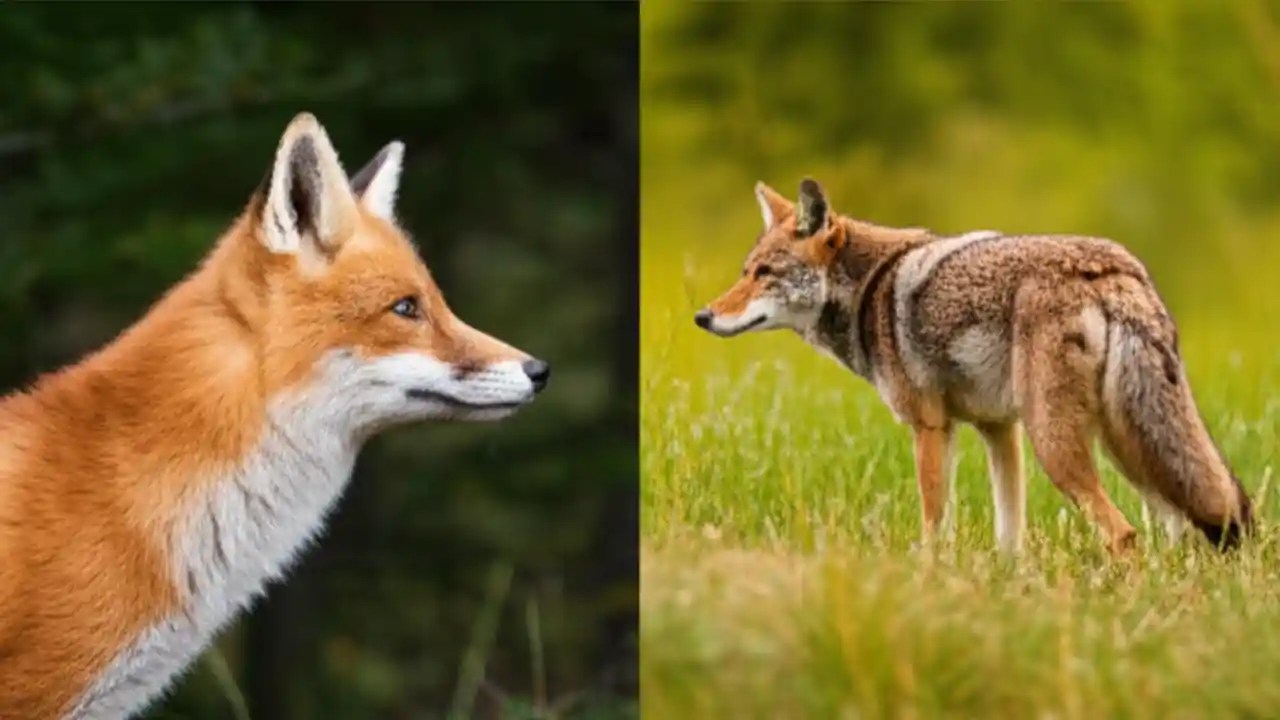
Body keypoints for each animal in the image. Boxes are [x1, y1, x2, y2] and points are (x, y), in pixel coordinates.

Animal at [694, 177, 1252, 556]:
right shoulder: (998, 429)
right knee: (1183, 523)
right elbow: (1010, 539)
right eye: (746, 271)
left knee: (1126, 535)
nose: (702, 316)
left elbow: (933, 524)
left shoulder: (930, 428)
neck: (872, 287)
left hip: (1063, 447)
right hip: (1129, 447)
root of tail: (1116, 268)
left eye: (764, 274)